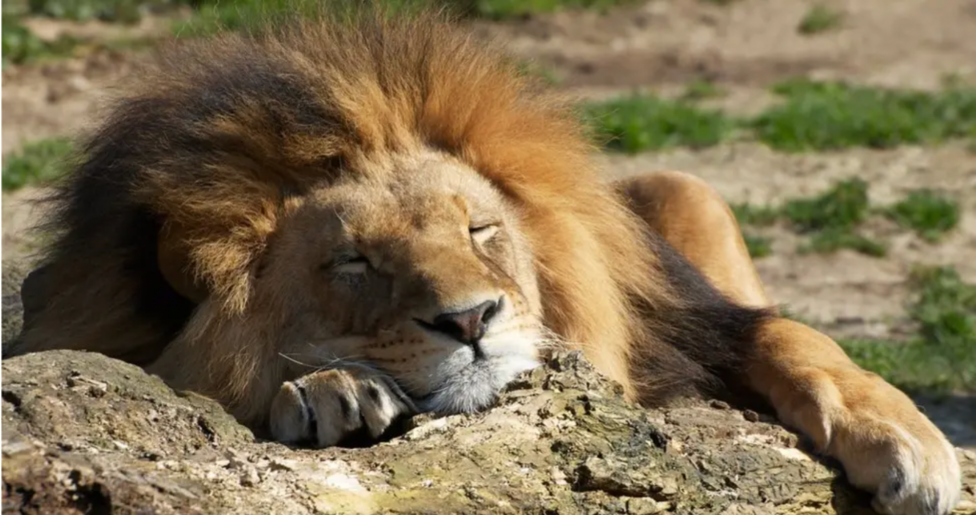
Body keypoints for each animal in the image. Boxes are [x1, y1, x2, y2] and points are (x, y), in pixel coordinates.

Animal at [9, 6, 960, 515]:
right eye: (354, 261)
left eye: (479, 230)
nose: (470, 319)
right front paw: (328, 392)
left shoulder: (693, 315)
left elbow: (797, 337)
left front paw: (911, 442)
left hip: (685, 186)